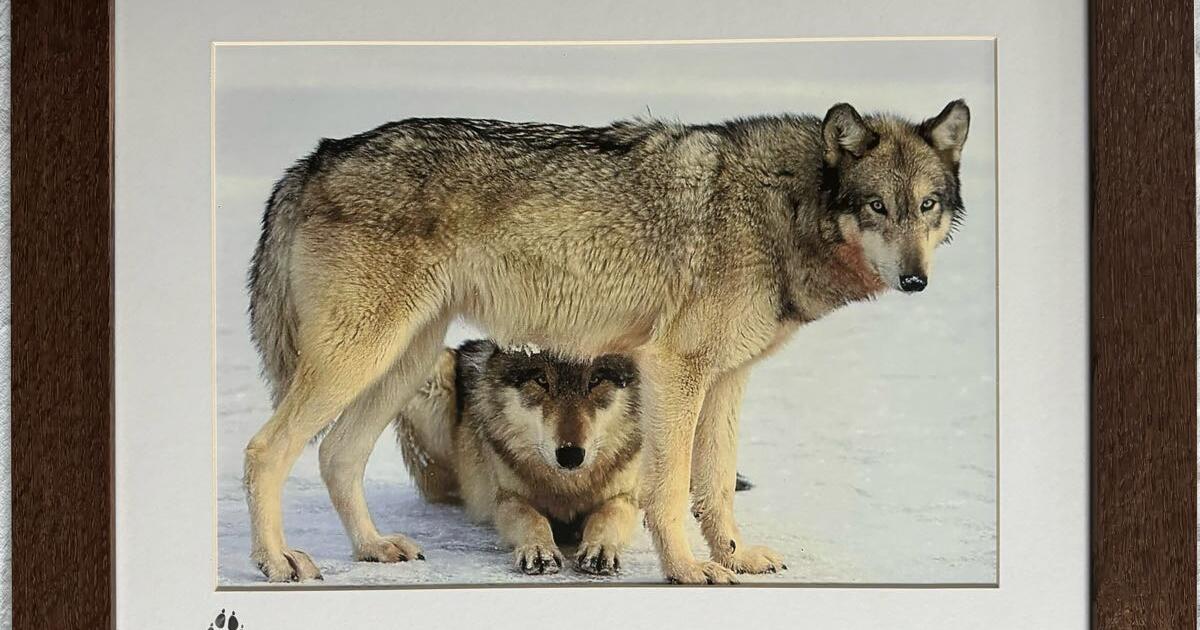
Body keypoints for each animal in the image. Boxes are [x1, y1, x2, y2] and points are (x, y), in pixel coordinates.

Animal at [245, 100, 970, 583]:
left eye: (926, 205)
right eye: (876, 206)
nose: (915, 279)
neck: (783, 206)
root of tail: (312, 159)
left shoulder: (726, 379)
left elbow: (713, 489)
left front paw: (735, 559)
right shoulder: (676, 369)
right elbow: (670, 489)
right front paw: (687, 570)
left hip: (405, 360)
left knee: (336, 453)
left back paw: (371, 548)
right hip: (362, 357)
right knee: (265, 451)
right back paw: (276, 561)